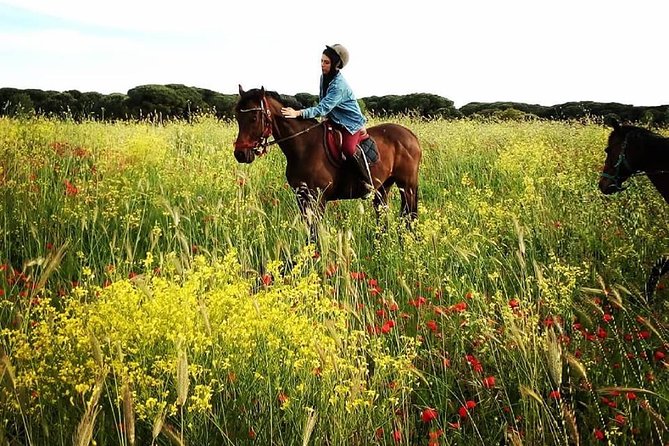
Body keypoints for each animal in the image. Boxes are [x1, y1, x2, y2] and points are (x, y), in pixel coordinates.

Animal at [233, 86, 422, 241]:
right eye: (237, 117)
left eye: (254, 117)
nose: (240, 154)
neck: (304, 146)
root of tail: (410, 135)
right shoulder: (302, 198)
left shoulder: (318, 199)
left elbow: (314, 234)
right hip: (383, 187)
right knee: (383, 217)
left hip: (407, 185)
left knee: (409, 216)